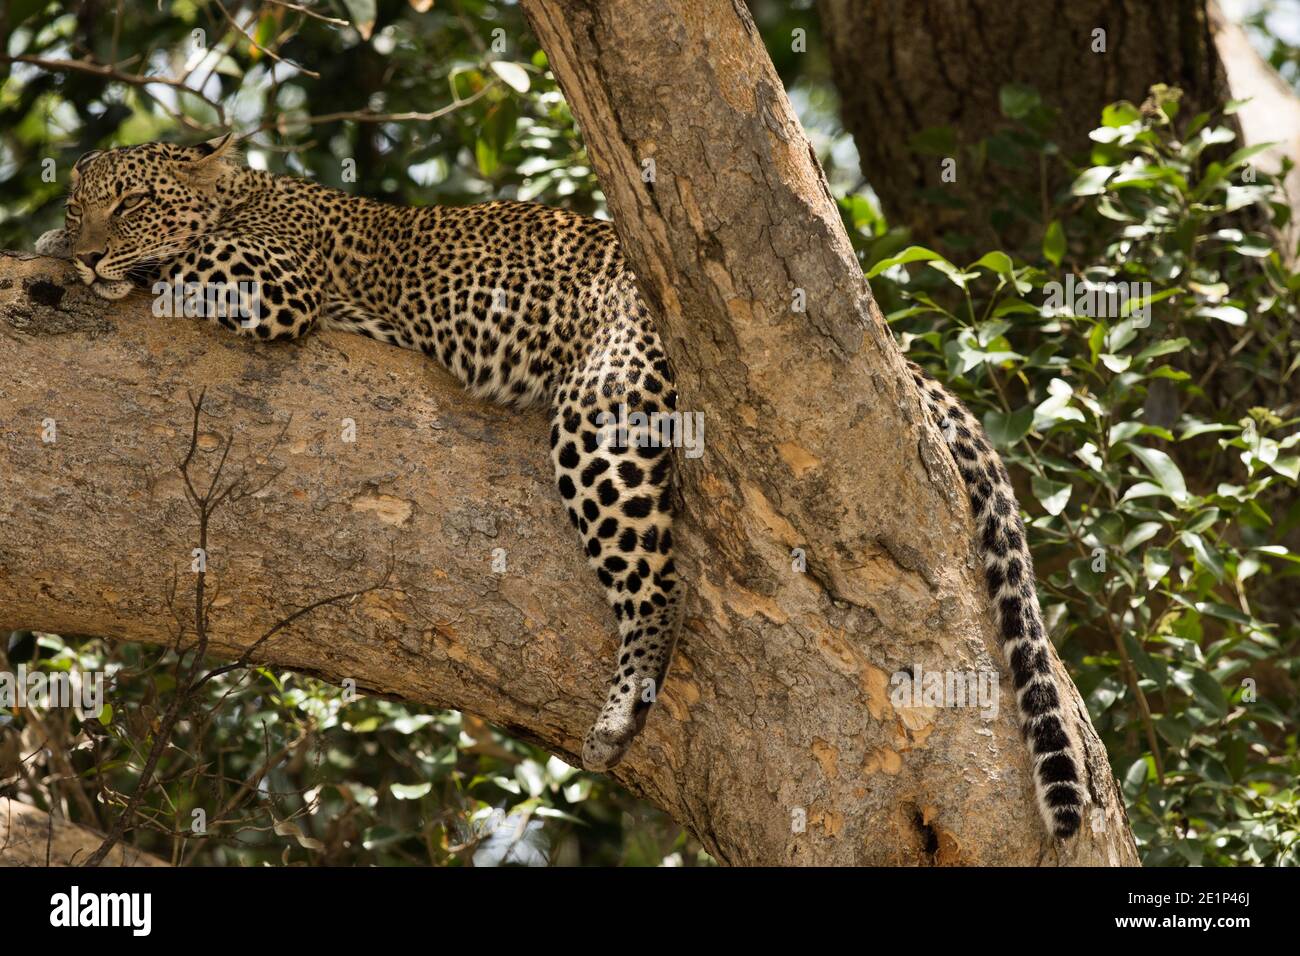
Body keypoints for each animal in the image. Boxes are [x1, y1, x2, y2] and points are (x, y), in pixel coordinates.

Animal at [37, 134, 1085, 839]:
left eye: (133, 204)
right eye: (86, 200)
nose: (86, 247)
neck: (249, 193)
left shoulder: (271, 280)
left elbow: (185, 261)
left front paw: (76, 262)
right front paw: (54, 245)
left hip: (603, 411)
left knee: (658, 585)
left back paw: (624, 710)